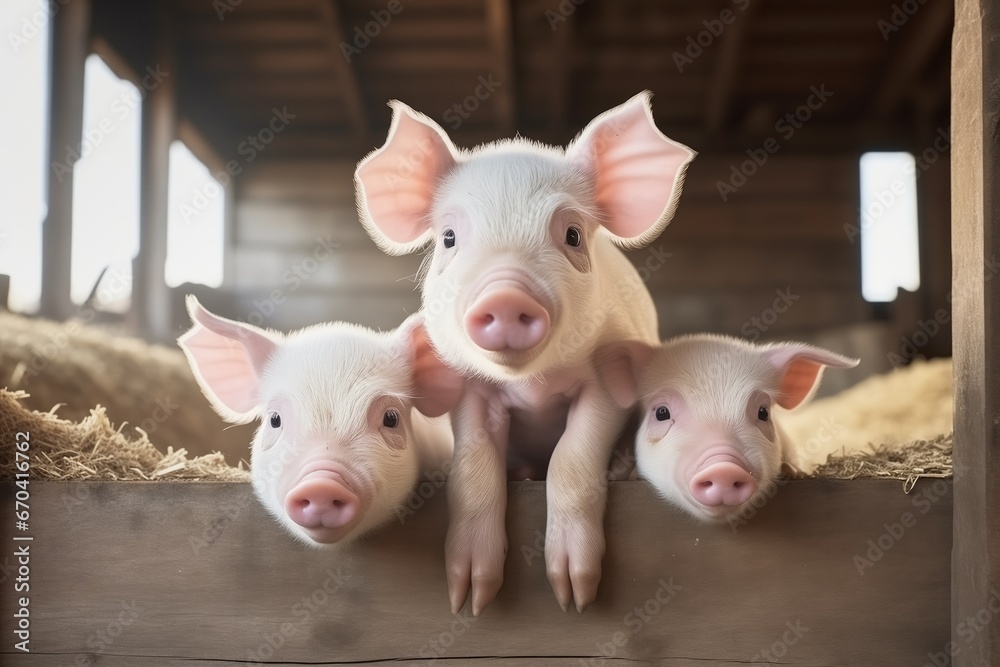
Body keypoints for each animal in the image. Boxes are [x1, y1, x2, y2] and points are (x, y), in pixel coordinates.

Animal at [354, 91, 696, 613]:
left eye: (572, 234)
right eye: (449, 238)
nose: (505, 296)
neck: (531, 384)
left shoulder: (606, 384)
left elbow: (572, 458)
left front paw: (575, 596)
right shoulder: (469, 391)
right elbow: (474, 469)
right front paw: (470, 598)